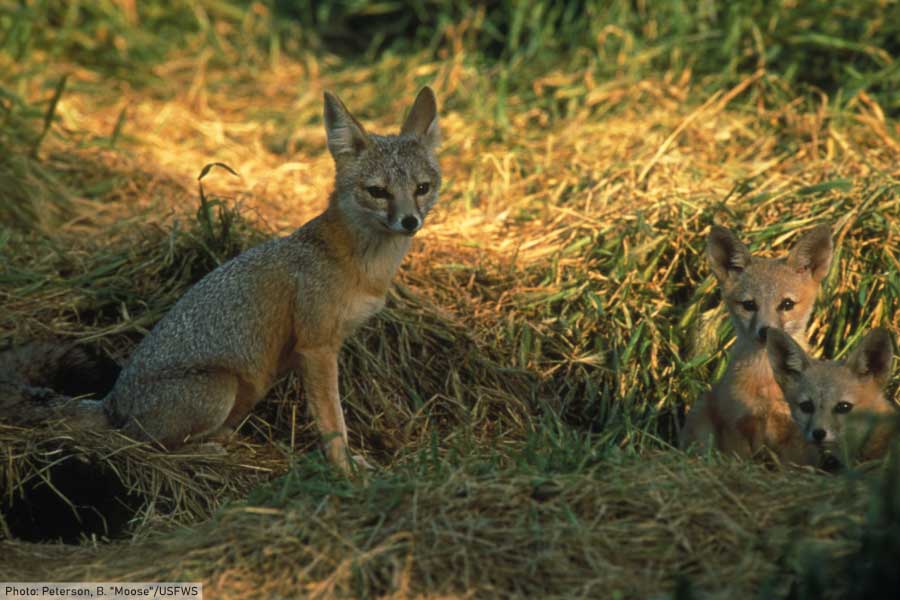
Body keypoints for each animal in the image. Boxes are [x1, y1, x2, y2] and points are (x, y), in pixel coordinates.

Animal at [1, 87, 442, 474]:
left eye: (422, 188)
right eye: (378, 192)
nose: (409, 221)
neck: (362, 264)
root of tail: (114, 402)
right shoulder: (317, 349)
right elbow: (334, 423)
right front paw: (345, 471)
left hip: (248, 390)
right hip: (220, 390)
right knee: (145, 445)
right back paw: (206, 451)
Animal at [680, 223, 833, 465]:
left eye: (787, 304)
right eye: (749, 305)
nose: (766, 331)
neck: (766, 386)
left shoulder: (795, 436)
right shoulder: (736, 428)